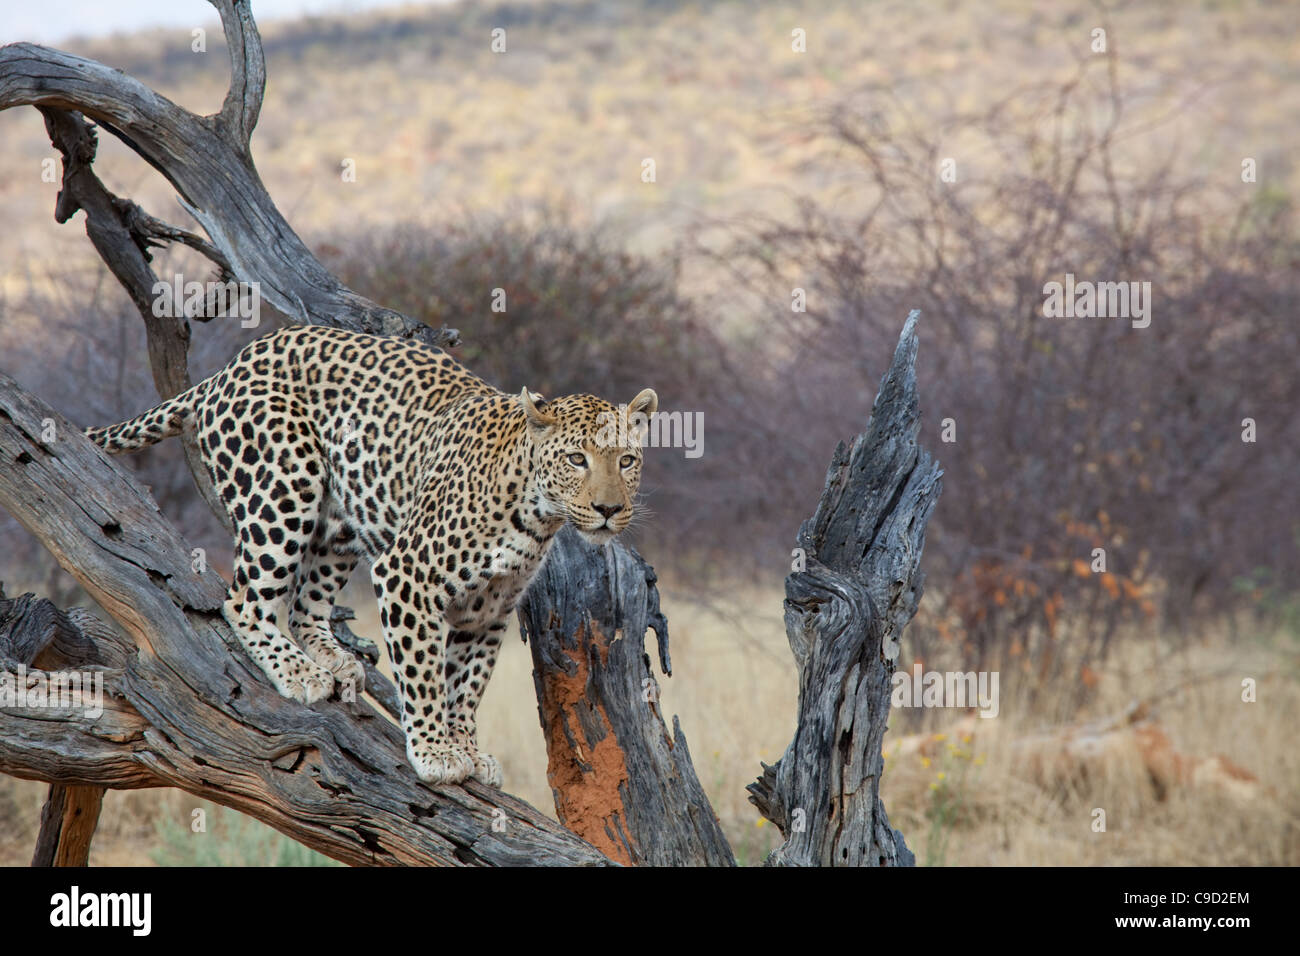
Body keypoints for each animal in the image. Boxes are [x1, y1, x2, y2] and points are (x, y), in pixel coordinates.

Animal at [87, 324, 657, 787]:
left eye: (627, 460)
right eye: (576, 459)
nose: (609, 509)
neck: (536, 515)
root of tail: (226, 368)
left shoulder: (490, 609)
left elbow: (468, 684)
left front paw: (468, 747)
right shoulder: (409, 573)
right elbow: (425, 672)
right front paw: (435, 752)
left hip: (340, 522)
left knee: (305, 605)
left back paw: (333, 658)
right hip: (283, 488)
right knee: (246, 599)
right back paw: (299, 672)